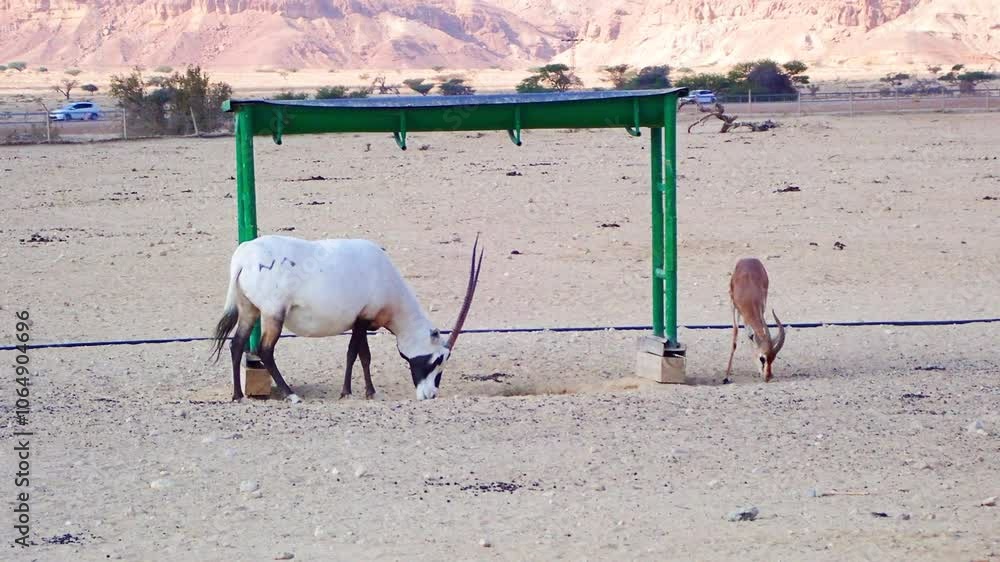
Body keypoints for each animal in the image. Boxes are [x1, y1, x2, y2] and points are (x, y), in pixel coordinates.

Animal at [210, 234, 484, 402]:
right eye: (438, 359)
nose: (431, 395)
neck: (385, 278)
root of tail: (243, 257)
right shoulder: (362, 319)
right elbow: (356, 354)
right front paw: (352, 392)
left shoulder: (359, 322)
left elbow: (361, 355)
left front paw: (365, 392)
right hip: (273, 314)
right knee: (265, 350)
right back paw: (291, 395)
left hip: (249, 310)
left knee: (236, 344)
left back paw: (238, 396)